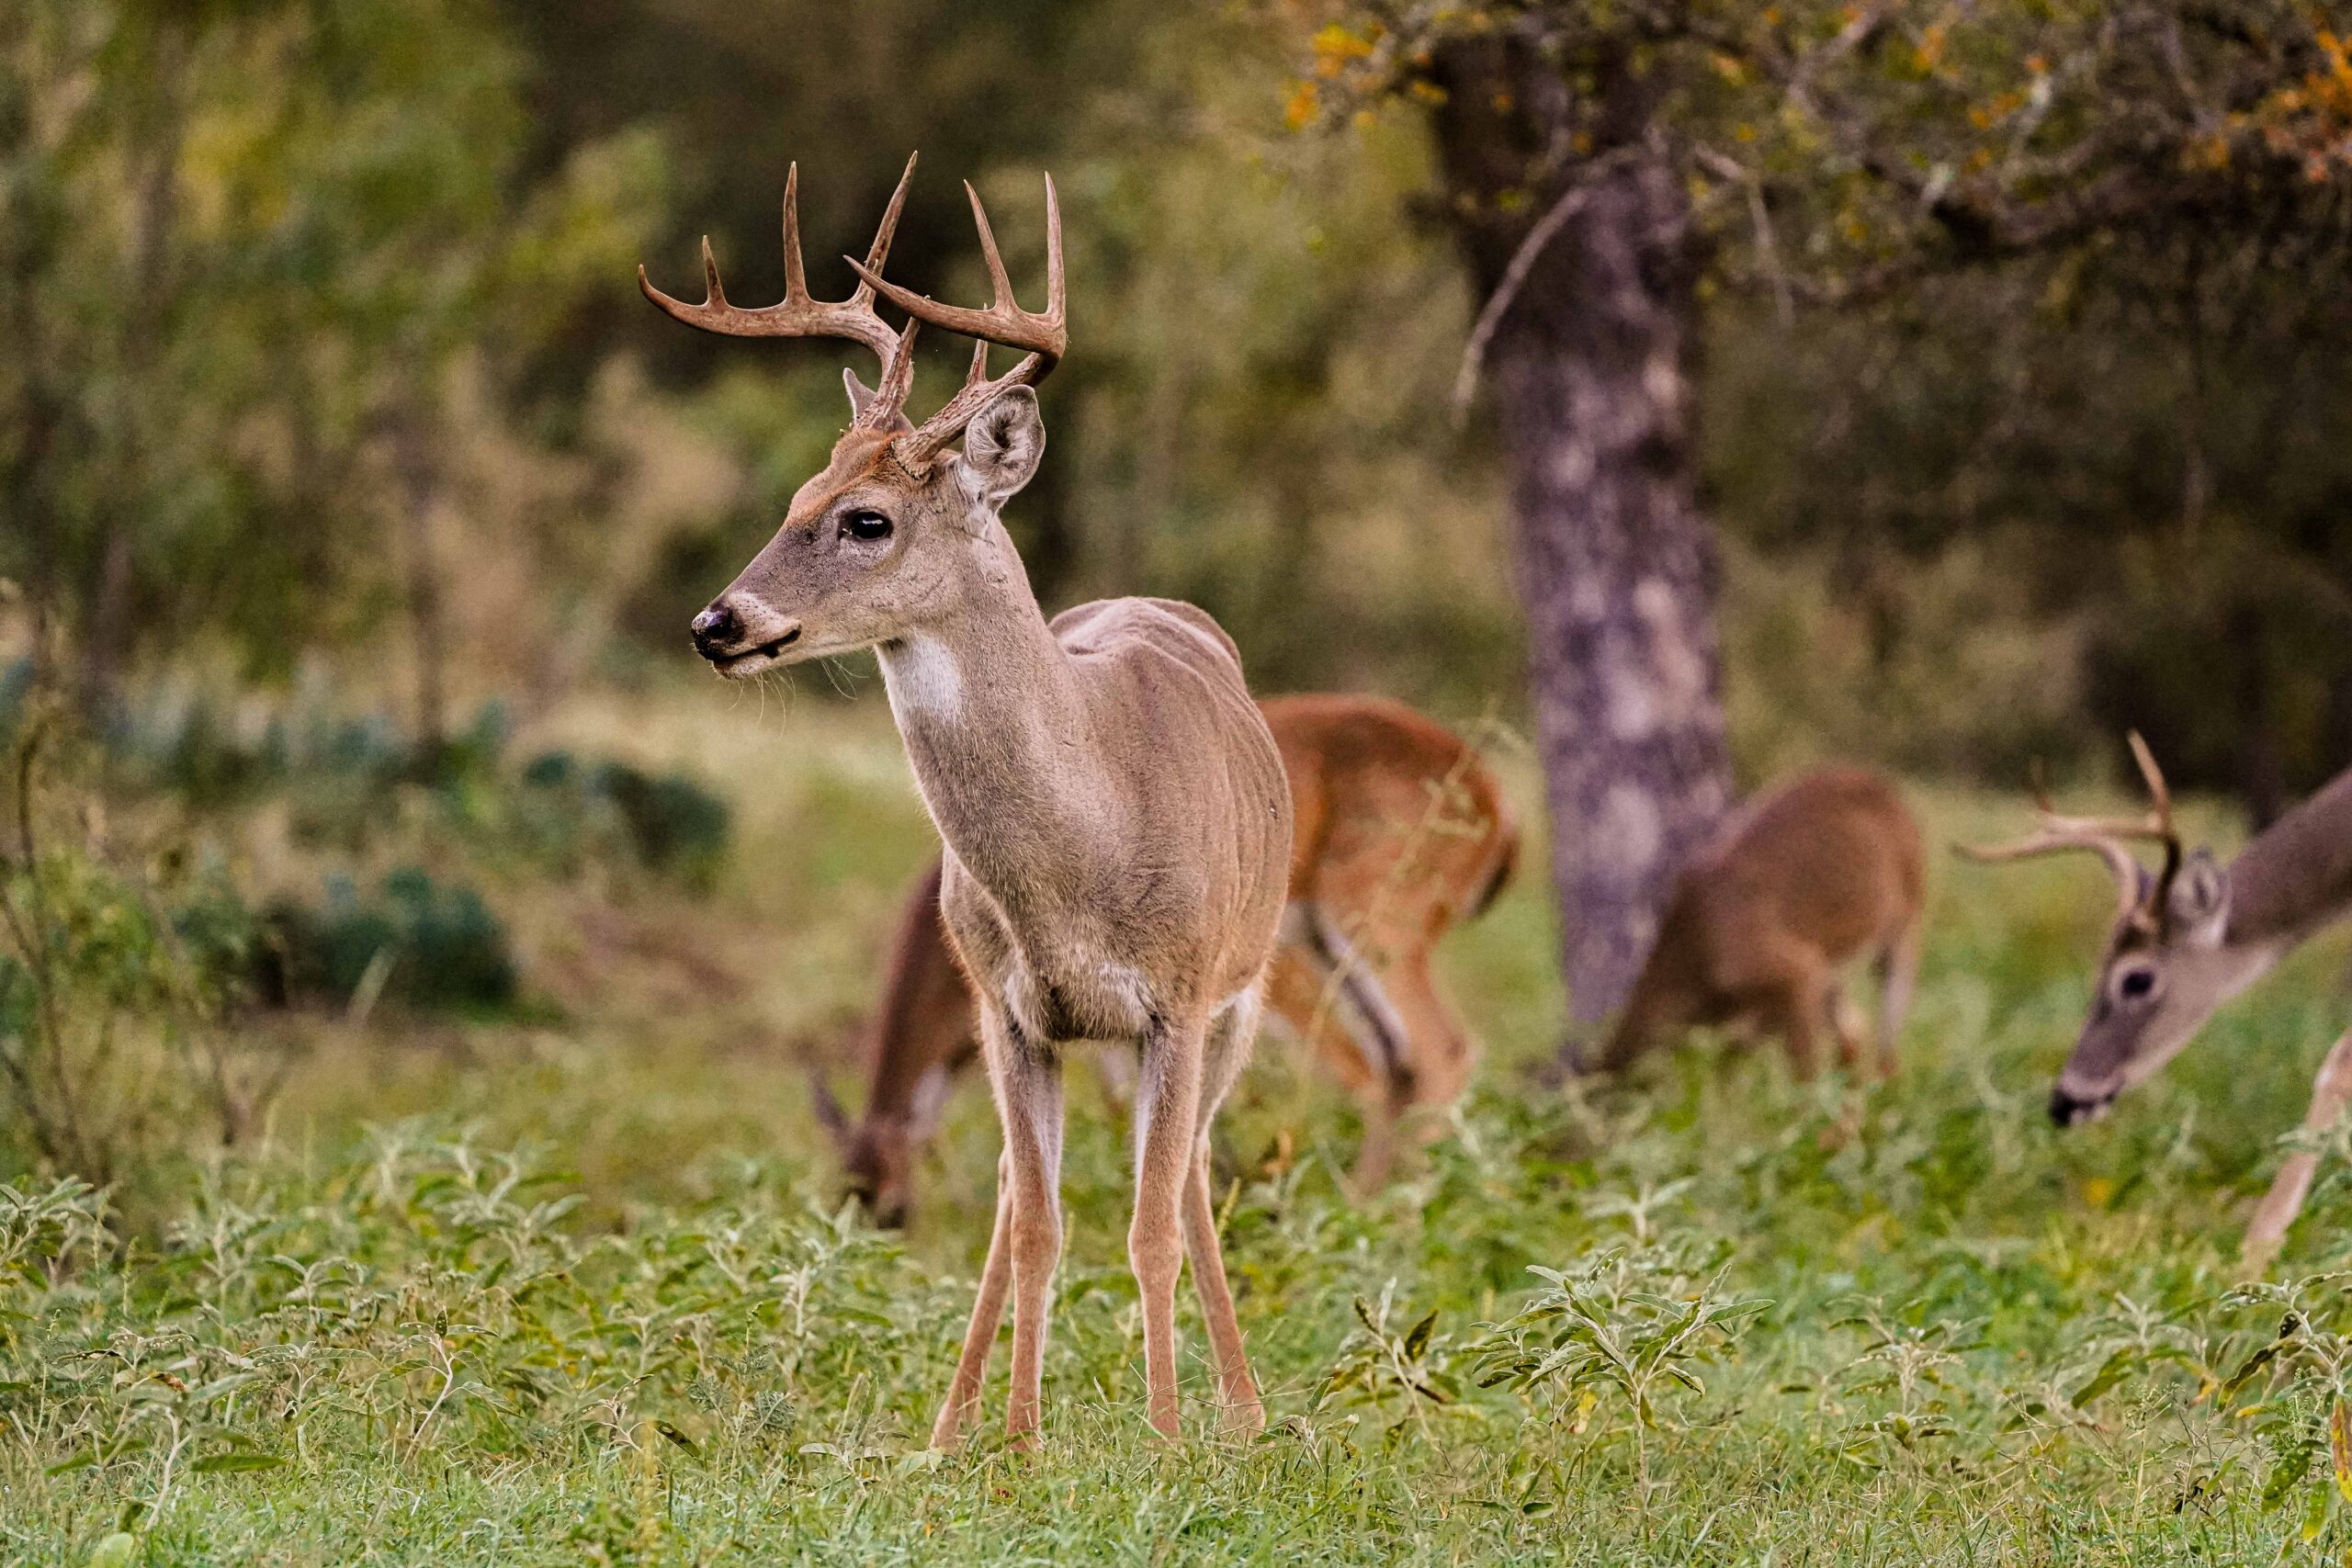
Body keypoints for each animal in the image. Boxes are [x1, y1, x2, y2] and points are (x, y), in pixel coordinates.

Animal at [643, 155, 1291, 1445]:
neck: (1088, 844)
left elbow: (1149, 1220)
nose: (714, 623)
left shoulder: (1181, 998)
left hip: (1247, 986)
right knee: (1008, 1188)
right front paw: (1018, 1443)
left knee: (1193, 1170)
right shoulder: (1010, 1009)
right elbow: (1036, 1223)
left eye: (868, 519)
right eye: (795, 495)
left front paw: (1164, 1438)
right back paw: (950, 1429)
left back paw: (1240, 1411)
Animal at [813, 692, 1520, 1225]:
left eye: (893, 1213)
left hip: (1365, 936)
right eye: (849, 1200)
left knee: (1433, 1053)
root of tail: (1488, 792)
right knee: (1399, 1064)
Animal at [1581, 767, 1926, 1081]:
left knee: (1886, 1041)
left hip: (1905, 925)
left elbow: (1805, 1077)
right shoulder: (1786, 989)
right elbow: (1729, 1067)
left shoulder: (1792, 969)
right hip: (1834, 965)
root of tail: (1891, 791)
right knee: (1857, 1032)